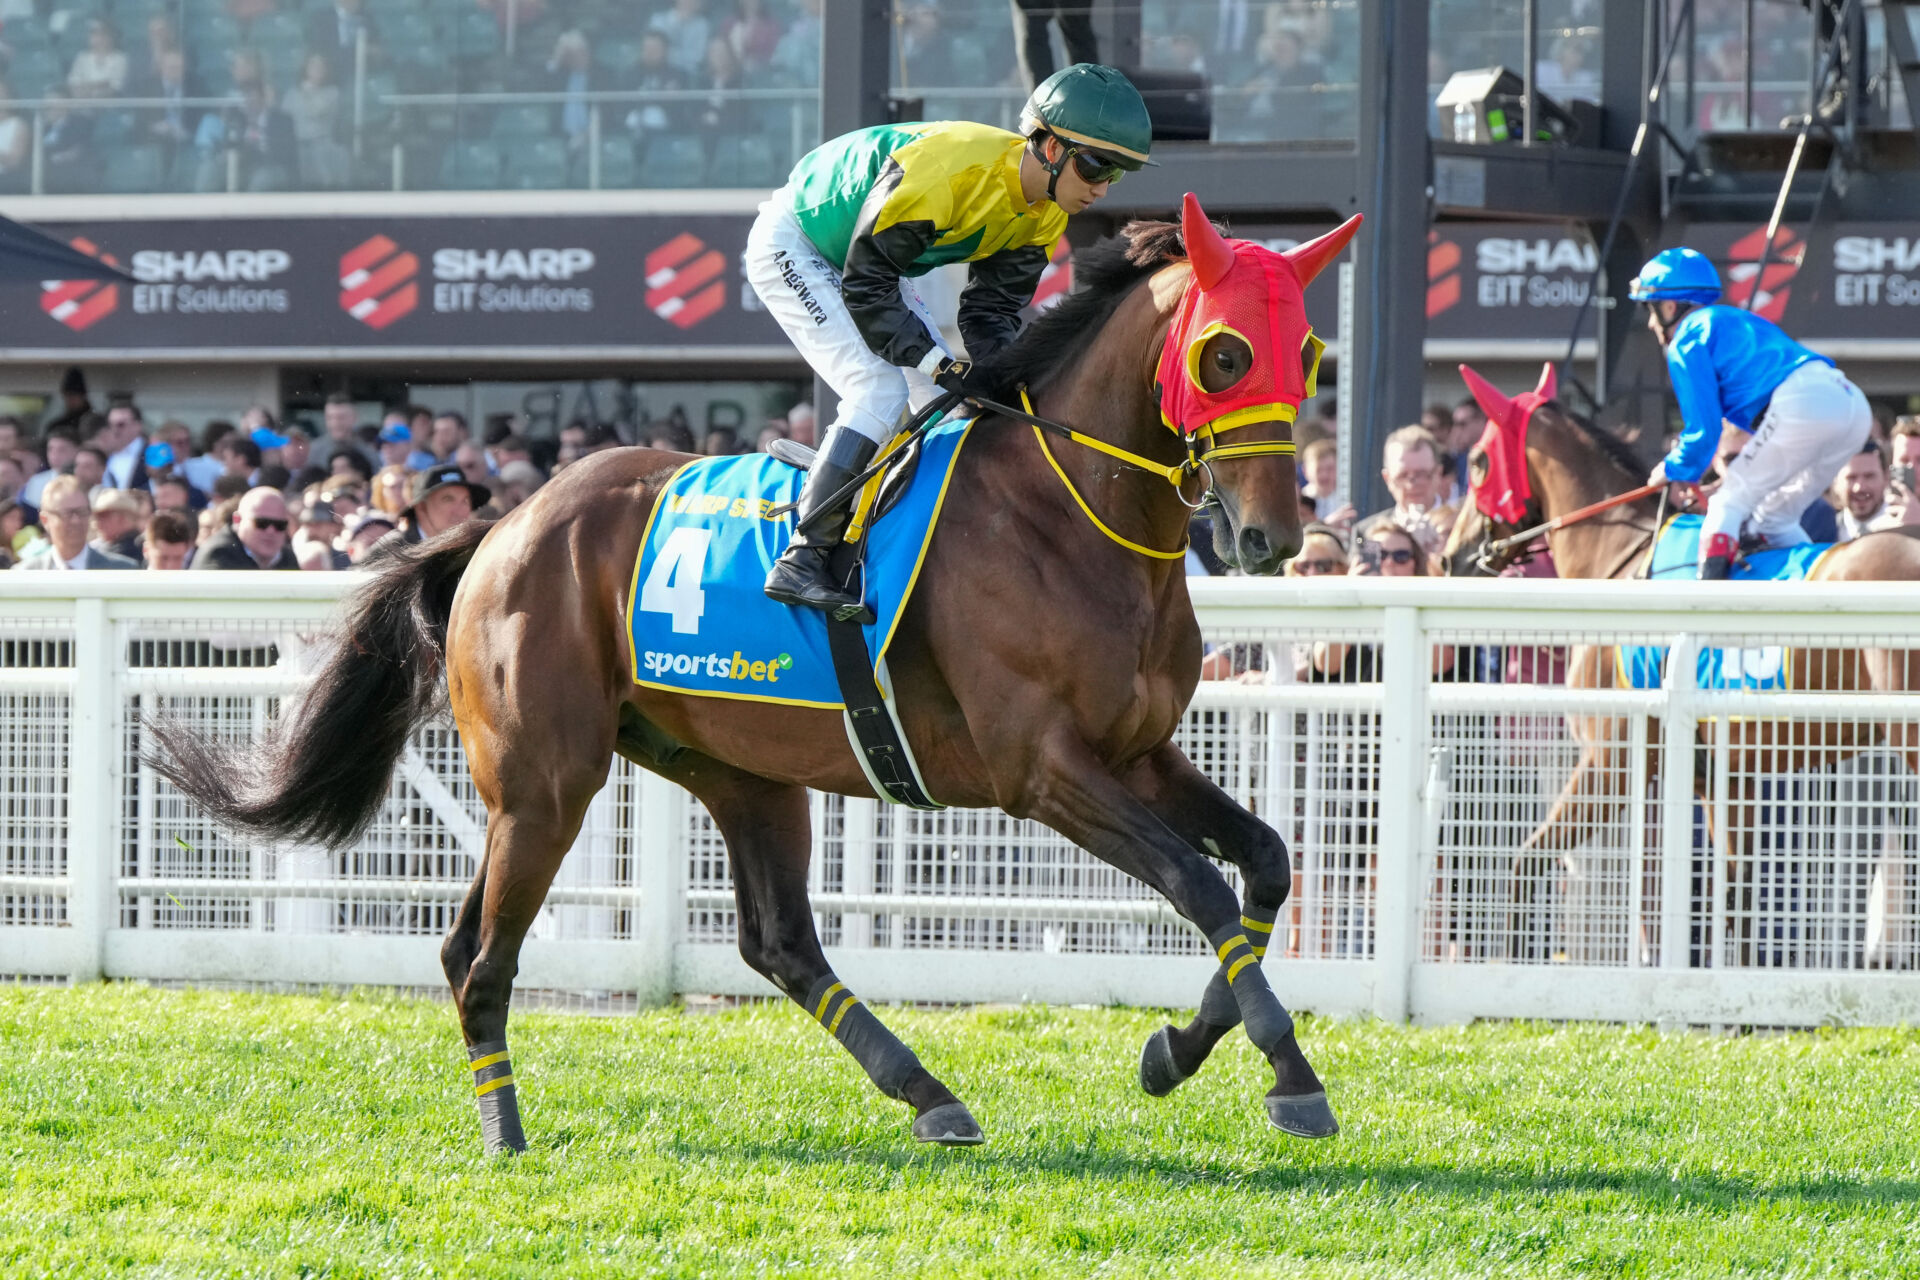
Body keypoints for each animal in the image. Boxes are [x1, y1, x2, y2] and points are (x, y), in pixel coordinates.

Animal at [151, 195, 1363, 1154]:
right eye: (1222, 353)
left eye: (1308, 353)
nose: (1272, 538)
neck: (1063, 518)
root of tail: (504, 523)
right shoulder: (1045, 769)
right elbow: (1199, 883)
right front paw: (1289, 1074)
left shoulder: (1137, 752)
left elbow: (1264, 863)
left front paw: (1181, 1048)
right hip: (544, 782)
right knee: (479, 954)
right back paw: (505, 1128)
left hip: (738, 767)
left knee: (773, 939)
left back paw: (928, 1093)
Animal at [1440, 363, 1920, 965]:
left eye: (1478, 460)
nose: (1449, 556)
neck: (1621, 561)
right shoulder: (1721, 775)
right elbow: (1736, 899)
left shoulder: (1612, 761)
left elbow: (1525, 861)